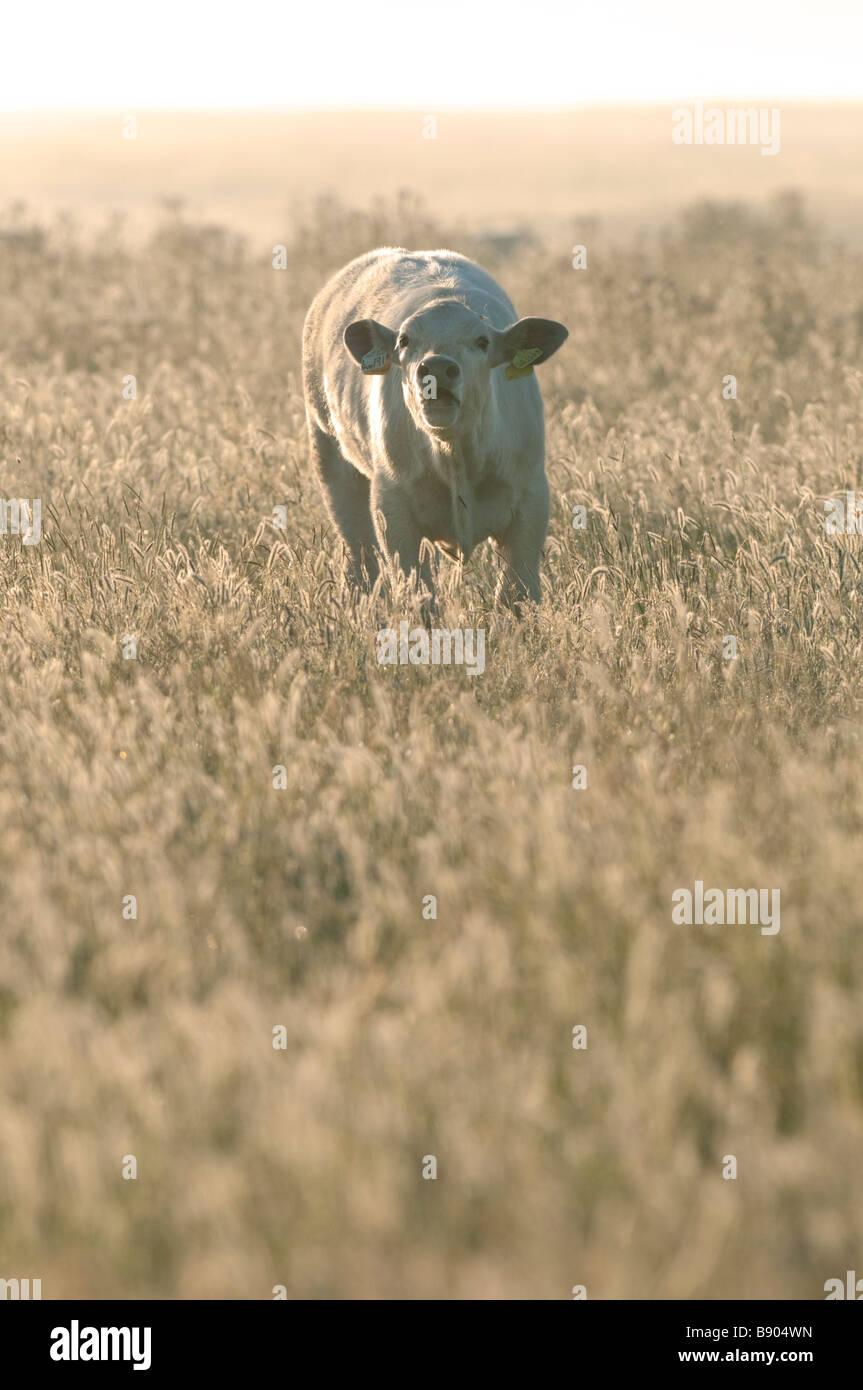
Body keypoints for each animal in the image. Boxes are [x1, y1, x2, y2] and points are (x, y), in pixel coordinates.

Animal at [301, 248, 568, 611]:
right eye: (404, 340)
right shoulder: (393, 507)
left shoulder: (532, 499)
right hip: (330, 456)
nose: (438, 367)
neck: (456, 457)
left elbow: (517, 595)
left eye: (482, 341)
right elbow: (419, 595)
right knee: (361, 560)